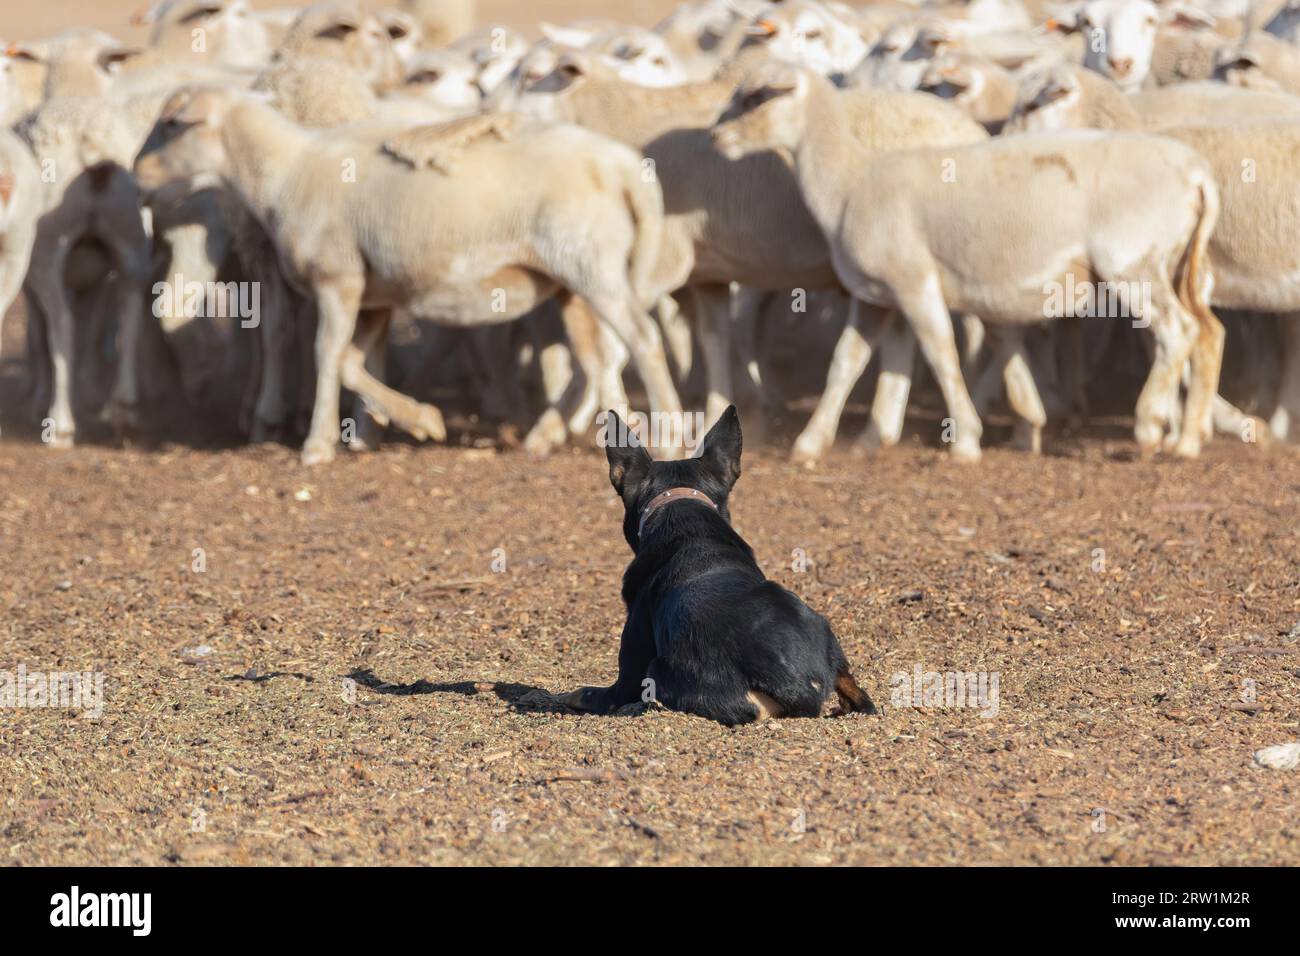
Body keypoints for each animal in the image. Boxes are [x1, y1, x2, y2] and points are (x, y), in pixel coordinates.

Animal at [133, 87, 683, 465]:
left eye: (170, 125)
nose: (136, 176)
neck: (286, 173)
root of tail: (624, 166)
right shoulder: (374, 294)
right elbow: (354, 362)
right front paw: (406, 424)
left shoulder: (338, 278)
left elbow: (327, 355)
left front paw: (318, 445)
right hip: (573, 283)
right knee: (596, 358)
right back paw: (562, 437)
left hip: (592, 267)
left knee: (643, 341)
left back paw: (670, 436)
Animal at [712, 60, 1224, 461]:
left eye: (756, 97)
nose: (717, 135)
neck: (848, 183)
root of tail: (1197, 172)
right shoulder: (877, 297)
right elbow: (846, 362)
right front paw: (813, 443)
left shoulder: (914, 282)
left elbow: (941, 353)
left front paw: (966, 441)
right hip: (1176, 266)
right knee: (1209, 332)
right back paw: (1188, 440)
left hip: (1132, 264)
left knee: (1178, 332)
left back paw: (1150, 426)